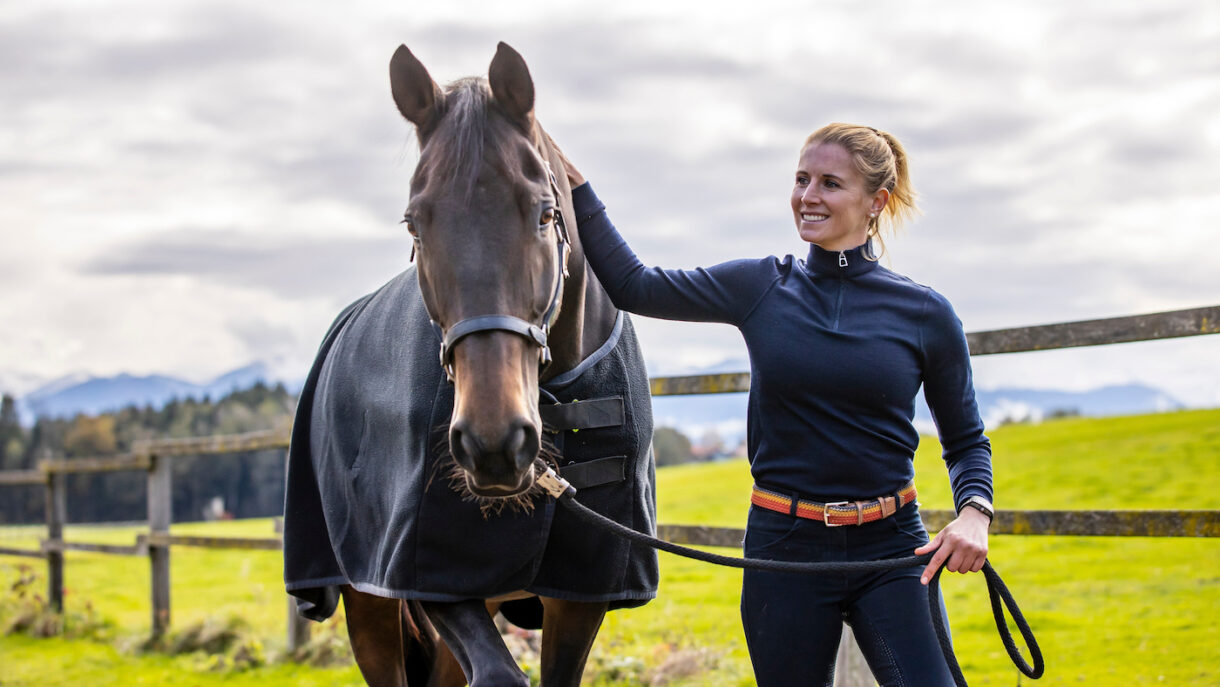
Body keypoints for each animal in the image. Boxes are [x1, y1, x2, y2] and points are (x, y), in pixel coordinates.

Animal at [283, 43, 658, 686]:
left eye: (543, 214)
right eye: (414, 222)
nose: (494, 444)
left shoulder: (580, 600)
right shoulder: (433, 579)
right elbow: (500, 674)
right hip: (368, 609)